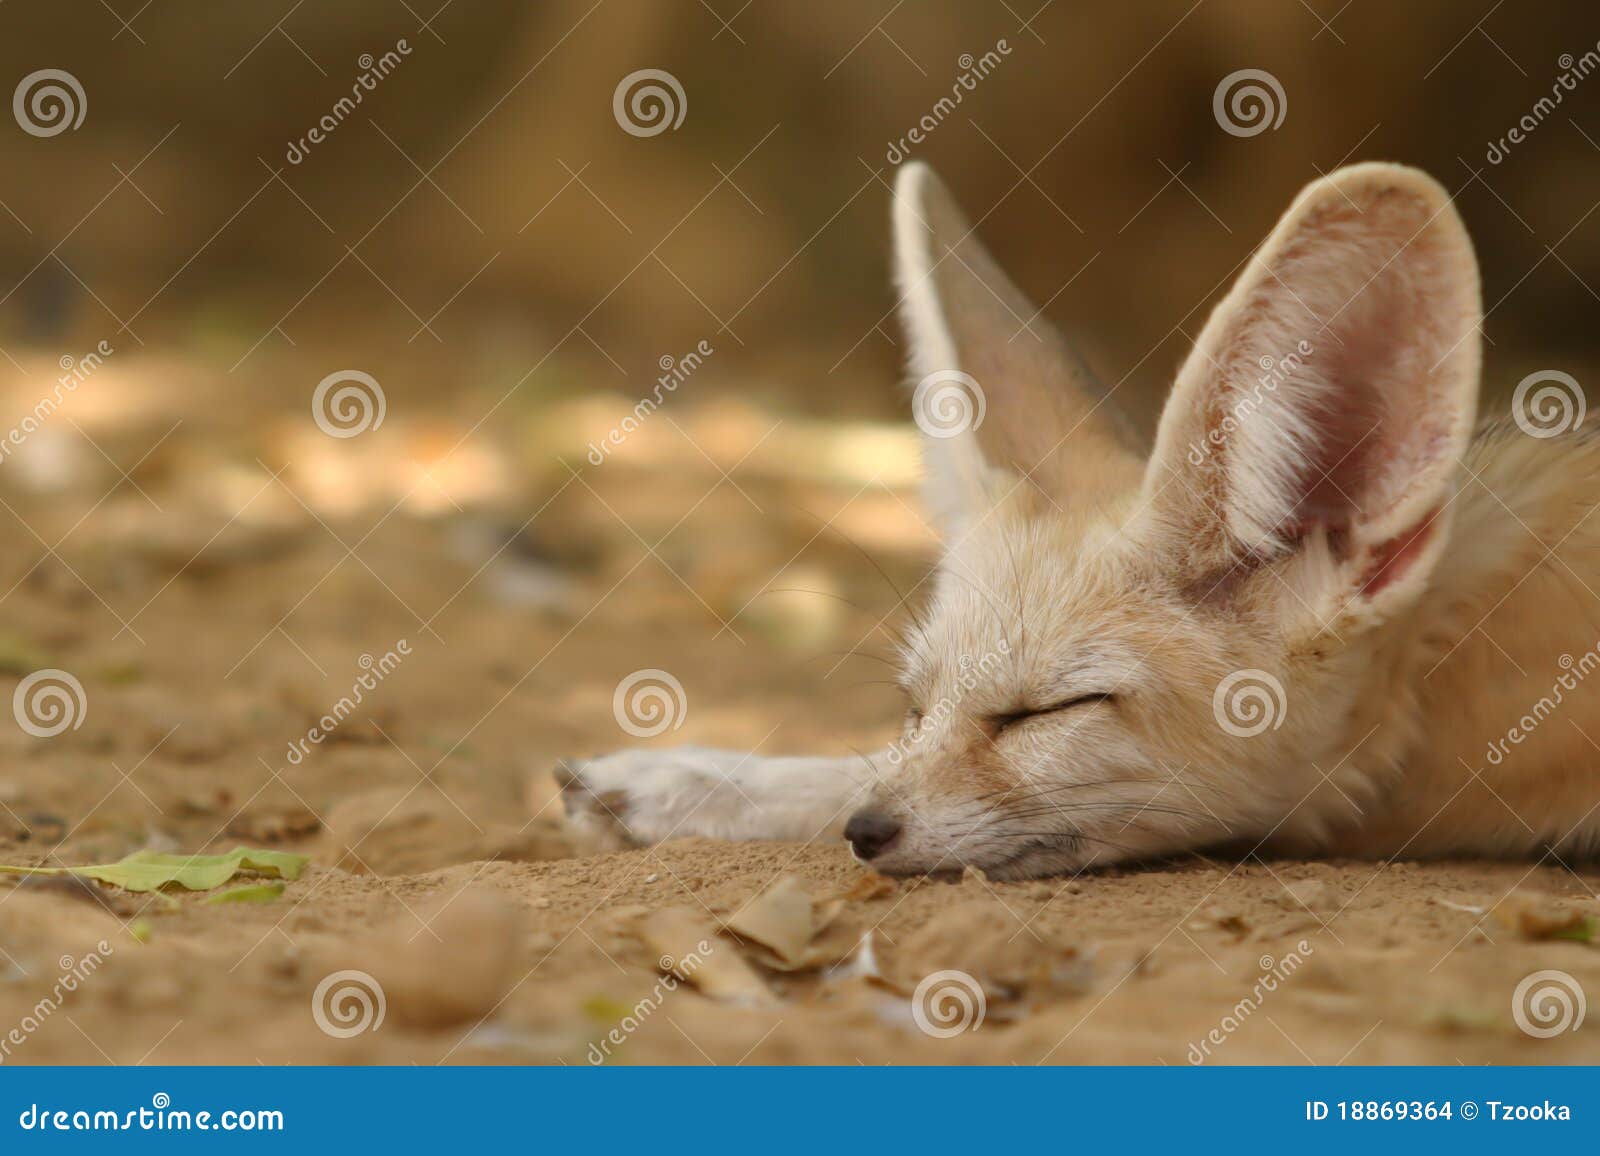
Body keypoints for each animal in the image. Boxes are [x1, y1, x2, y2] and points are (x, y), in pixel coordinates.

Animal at [560, 160, 1600, 879]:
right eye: (914, 704)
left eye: (1050, 711)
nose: (866, 833)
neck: (1461, 647)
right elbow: (854, 761)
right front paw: (691, 781)